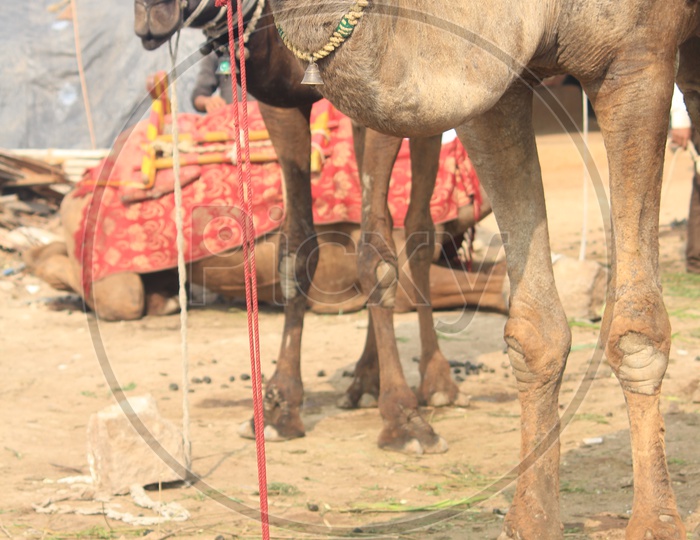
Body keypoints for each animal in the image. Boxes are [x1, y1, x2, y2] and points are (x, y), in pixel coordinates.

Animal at [267, 1, 700, 538]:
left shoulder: (640, 56)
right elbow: (534, 333)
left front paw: (656, 521)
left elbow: (637, 331)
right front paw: (530, 522)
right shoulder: (499, 80)